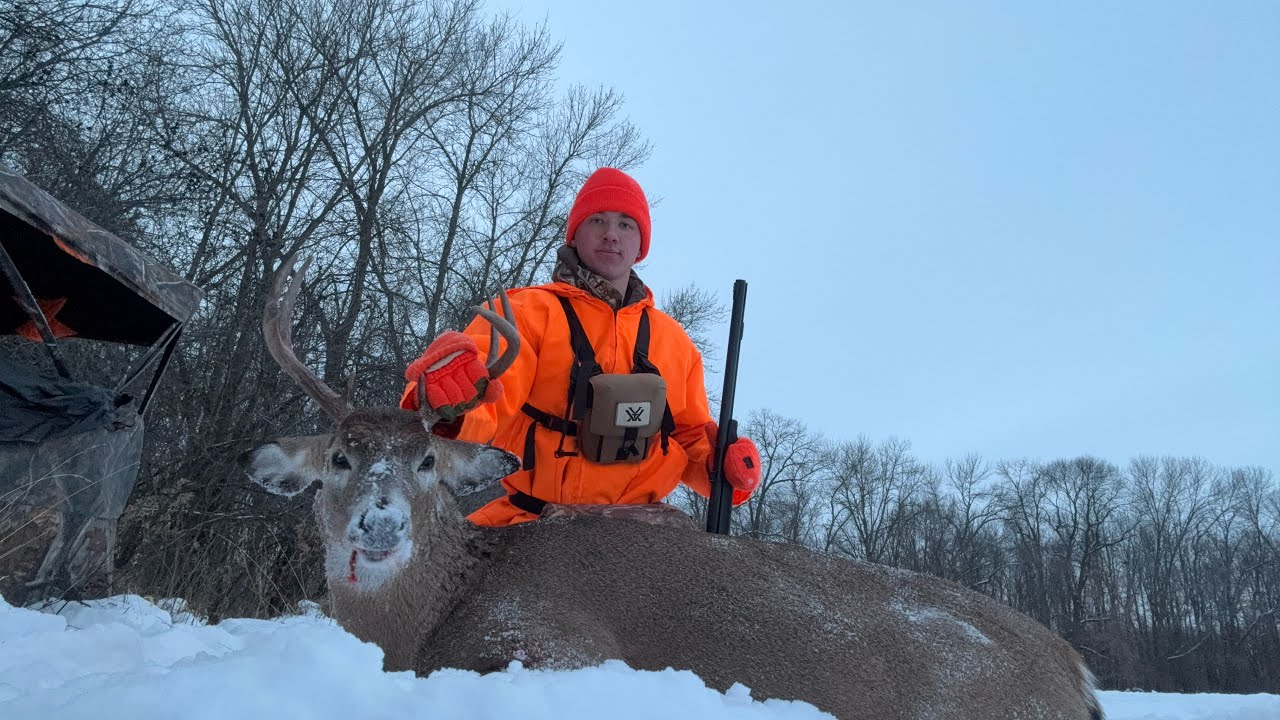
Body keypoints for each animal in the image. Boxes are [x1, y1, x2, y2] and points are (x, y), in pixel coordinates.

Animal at [243, 255, 1104, 720]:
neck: (420, 626)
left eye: (426, 462)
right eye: (340, 459)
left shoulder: (560, 646)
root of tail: (1077, 673)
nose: (381, 524)